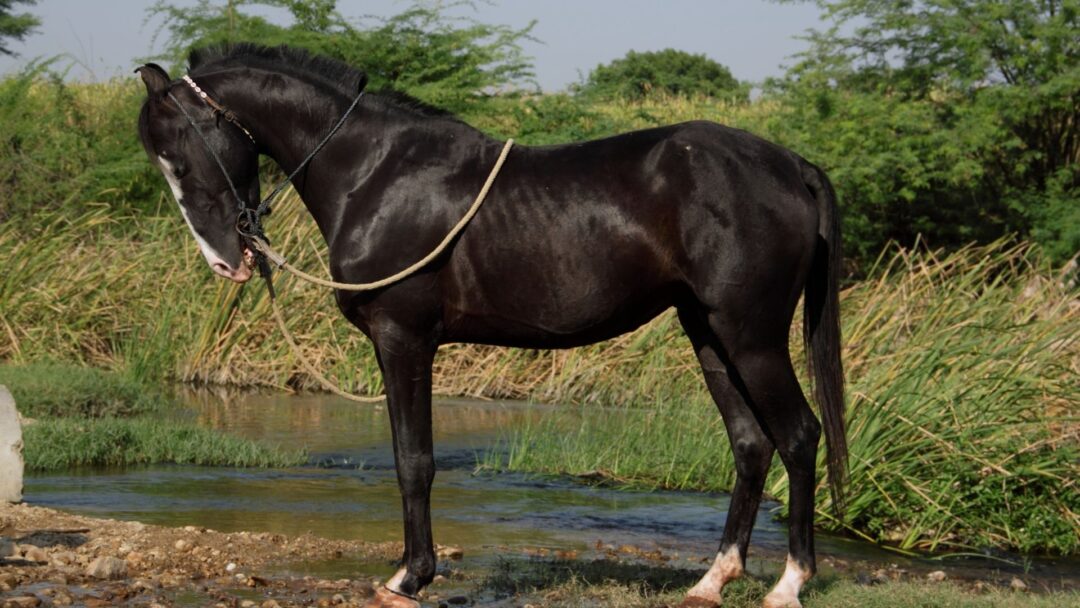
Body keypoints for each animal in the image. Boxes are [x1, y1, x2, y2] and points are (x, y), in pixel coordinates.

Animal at [136, 43, 846, 608]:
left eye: (179, 154)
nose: (226, 260)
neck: (375, 172)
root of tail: (791, 165)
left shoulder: (404, 341)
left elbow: (413, 461)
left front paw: (409, 579)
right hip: (709, 335)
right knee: (751, 444)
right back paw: (712, 580)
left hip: (752, 338)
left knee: (799, 436)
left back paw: (789, 584)